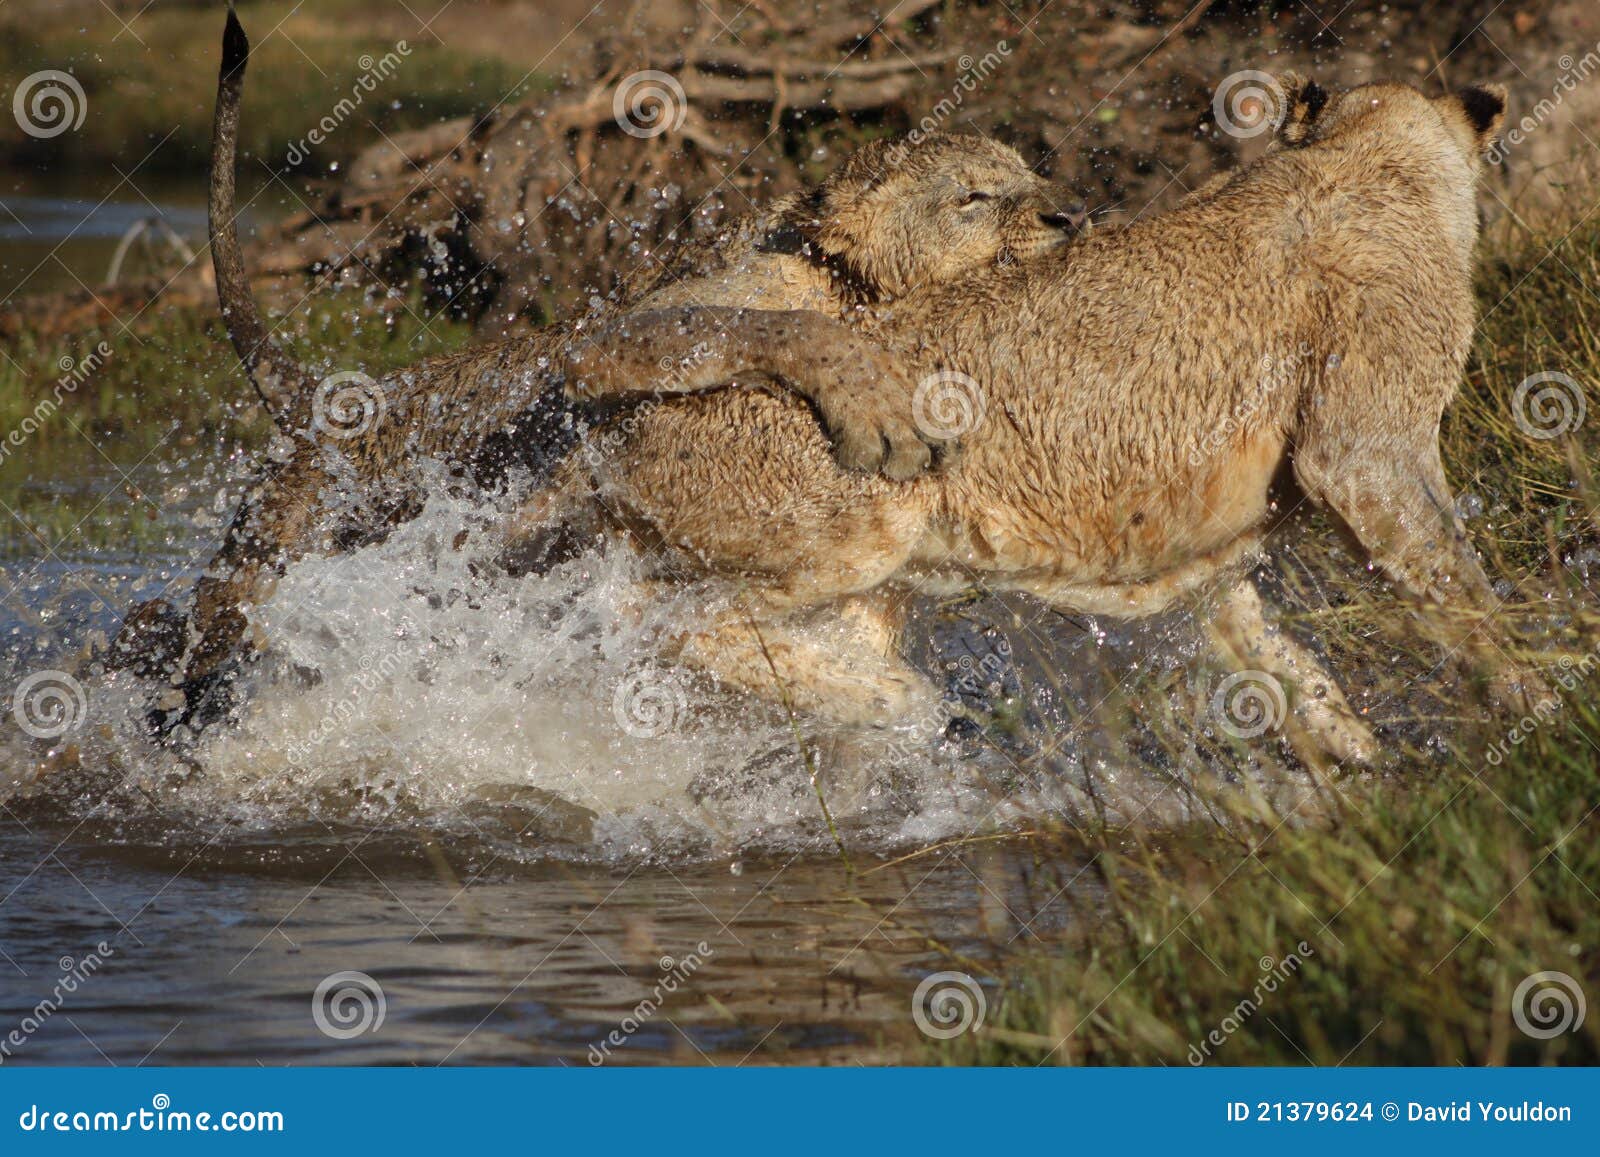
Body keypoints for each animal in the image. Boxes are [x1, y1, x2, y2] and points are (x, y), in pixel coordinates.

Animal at [116, 9, 1087, 733]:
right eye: (974, 197)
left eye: (1029, 171)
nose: (1072, 214)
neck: (855, 285)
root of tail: (333, 410)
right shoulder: (605, 340)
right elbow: (761, 323)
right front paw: (874, 401)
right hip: (260, 572)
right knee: (180, 643)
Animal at [535, 77, 1525, 767]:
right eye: (974, 197)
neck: (1366, 159)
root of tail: (623, 432)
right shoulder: (1362, 454)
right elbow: (1461, 592)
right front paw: (1537, 717)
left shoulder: (1207, 546)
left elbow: (1267, 649)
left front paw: (1348, 751)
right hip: (852, 531)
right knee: (654, 616)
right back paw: (896, 696)